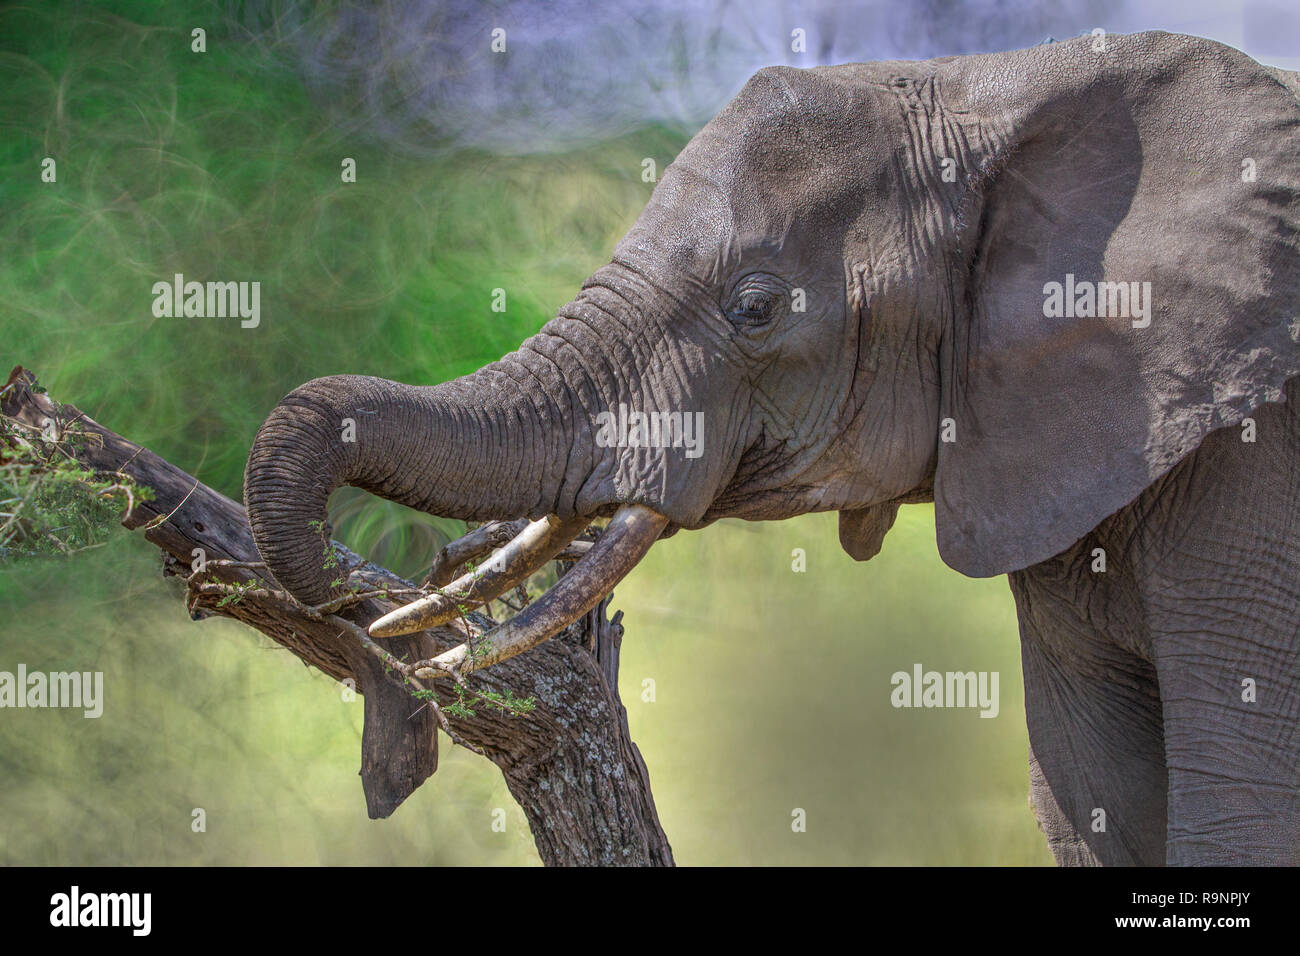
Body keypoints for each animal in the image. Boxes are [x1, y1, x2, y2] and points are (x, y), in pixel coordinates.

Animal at [244, 31, 1300, 865]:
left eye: (756, 308)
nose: (350, 602)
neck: (993, 86)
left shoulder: (1253, 464)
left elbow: (1237, 807)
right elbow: (1089, 800)